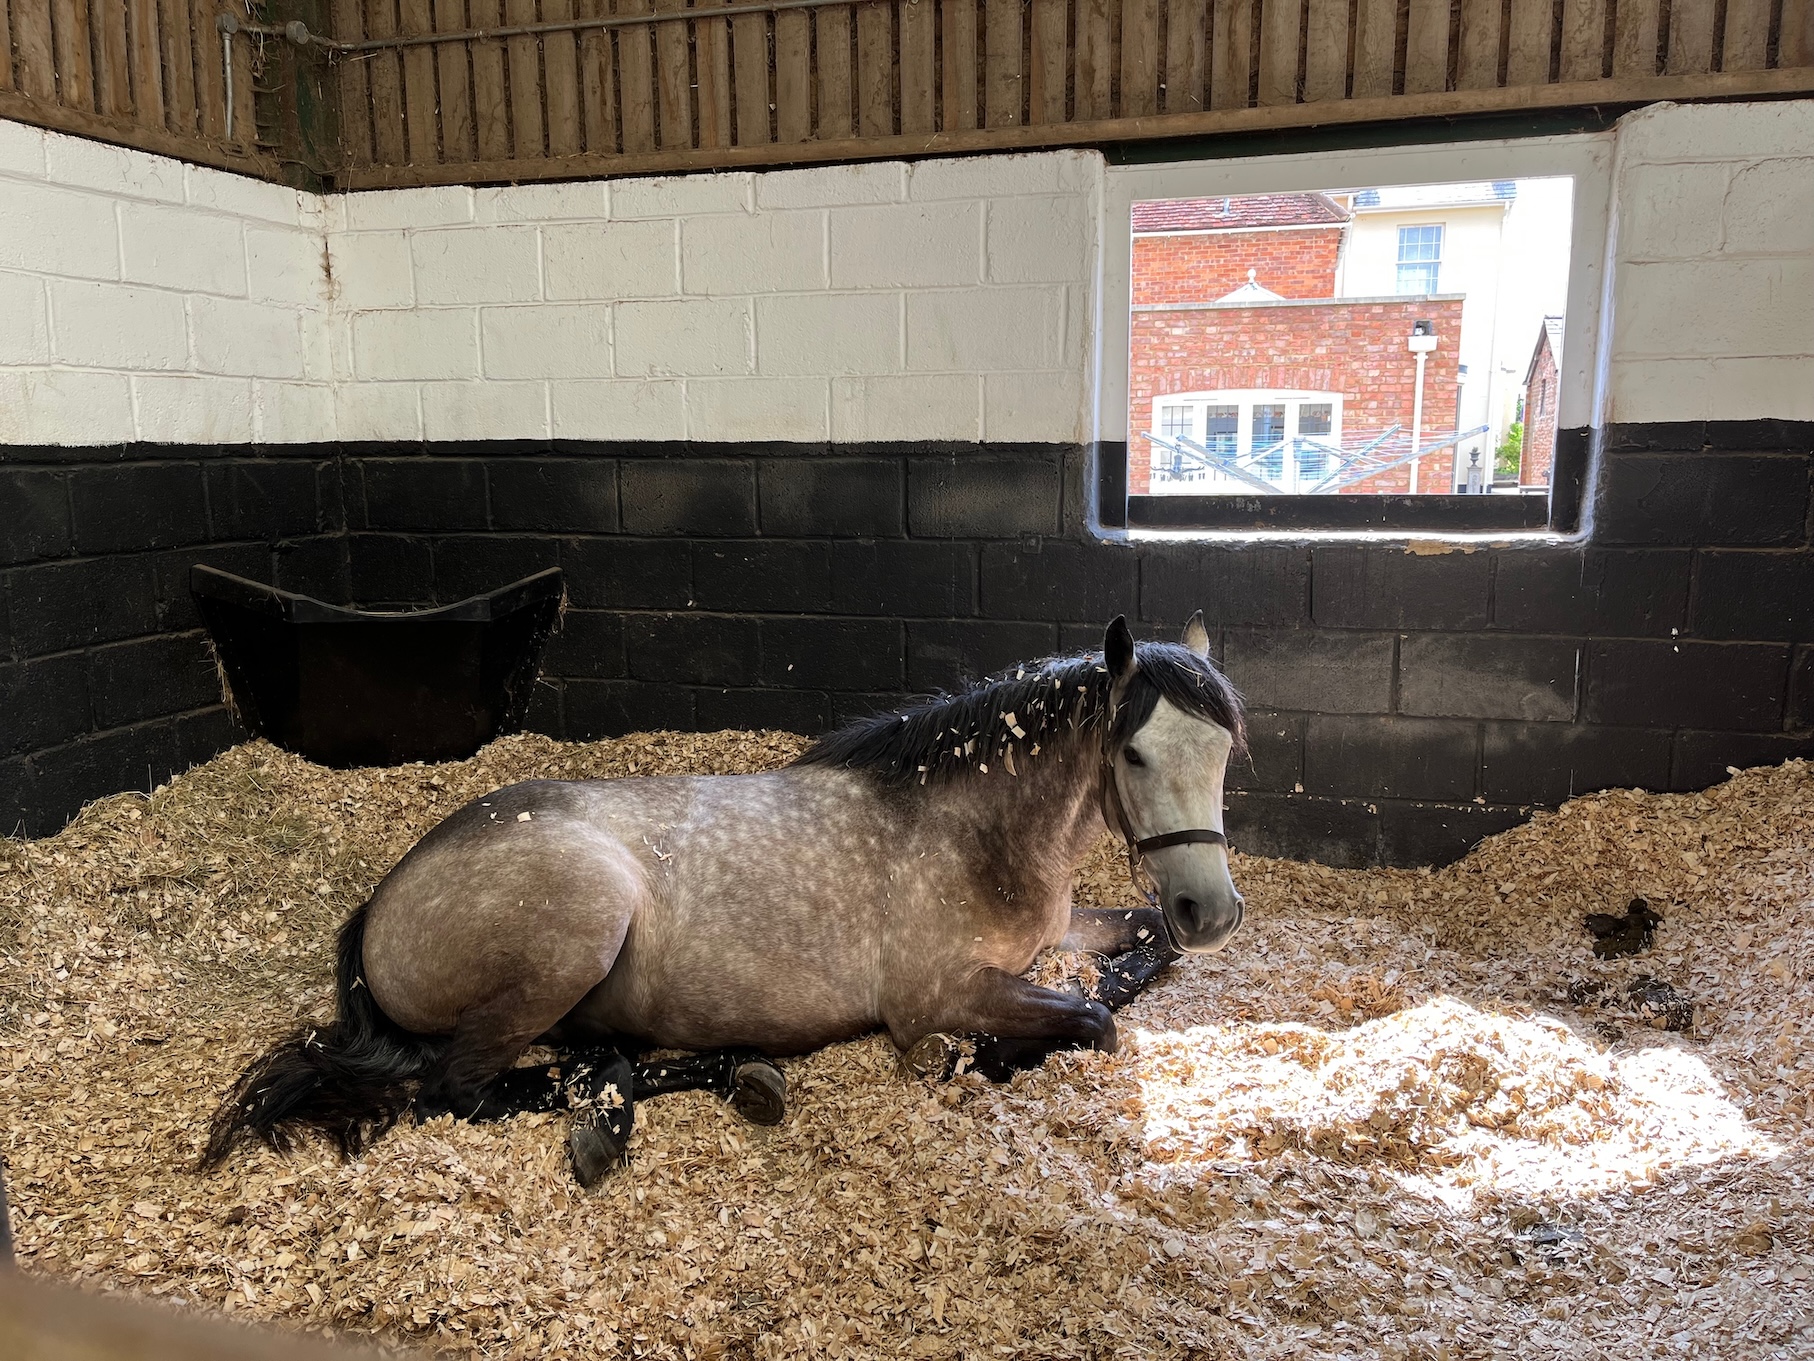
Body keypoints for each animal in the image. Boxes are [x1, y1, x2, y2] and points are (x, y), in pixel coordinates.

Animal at [202, 615, 1247, 1184]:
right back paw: (620, 1113)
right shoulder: (938, 993)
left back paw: (715, 1076)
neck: (968, 828)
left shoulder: (1060, 932)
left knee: (592, 1057)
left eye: (1226, 750)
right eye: (1135, 753)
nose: (1215, 911)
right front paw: (979, 1055)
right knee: (464, 1088)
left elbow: (1135, 952)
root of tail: (380, 904)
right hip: (578, 928)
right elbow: (1091, 1021)